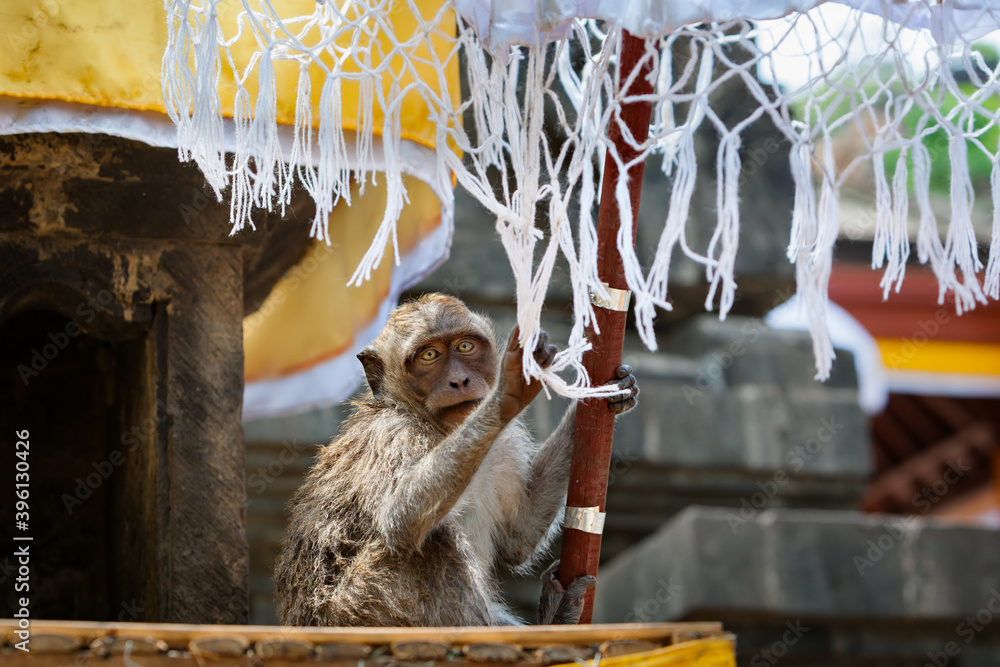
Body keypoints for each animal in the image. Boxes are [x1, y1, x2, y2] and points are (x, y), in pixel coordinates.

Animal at [274, 293, 638, 627]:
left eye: (465, 347)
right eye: (429, 355)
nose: (459, 381)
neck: (439, 429)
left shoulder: (502, 449)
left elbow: (518, 536)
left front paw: (605, 395)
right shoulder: (392, 434)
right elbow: (400, 519)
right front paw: (508, 391)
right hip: (352, 613)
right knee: (435, 541)